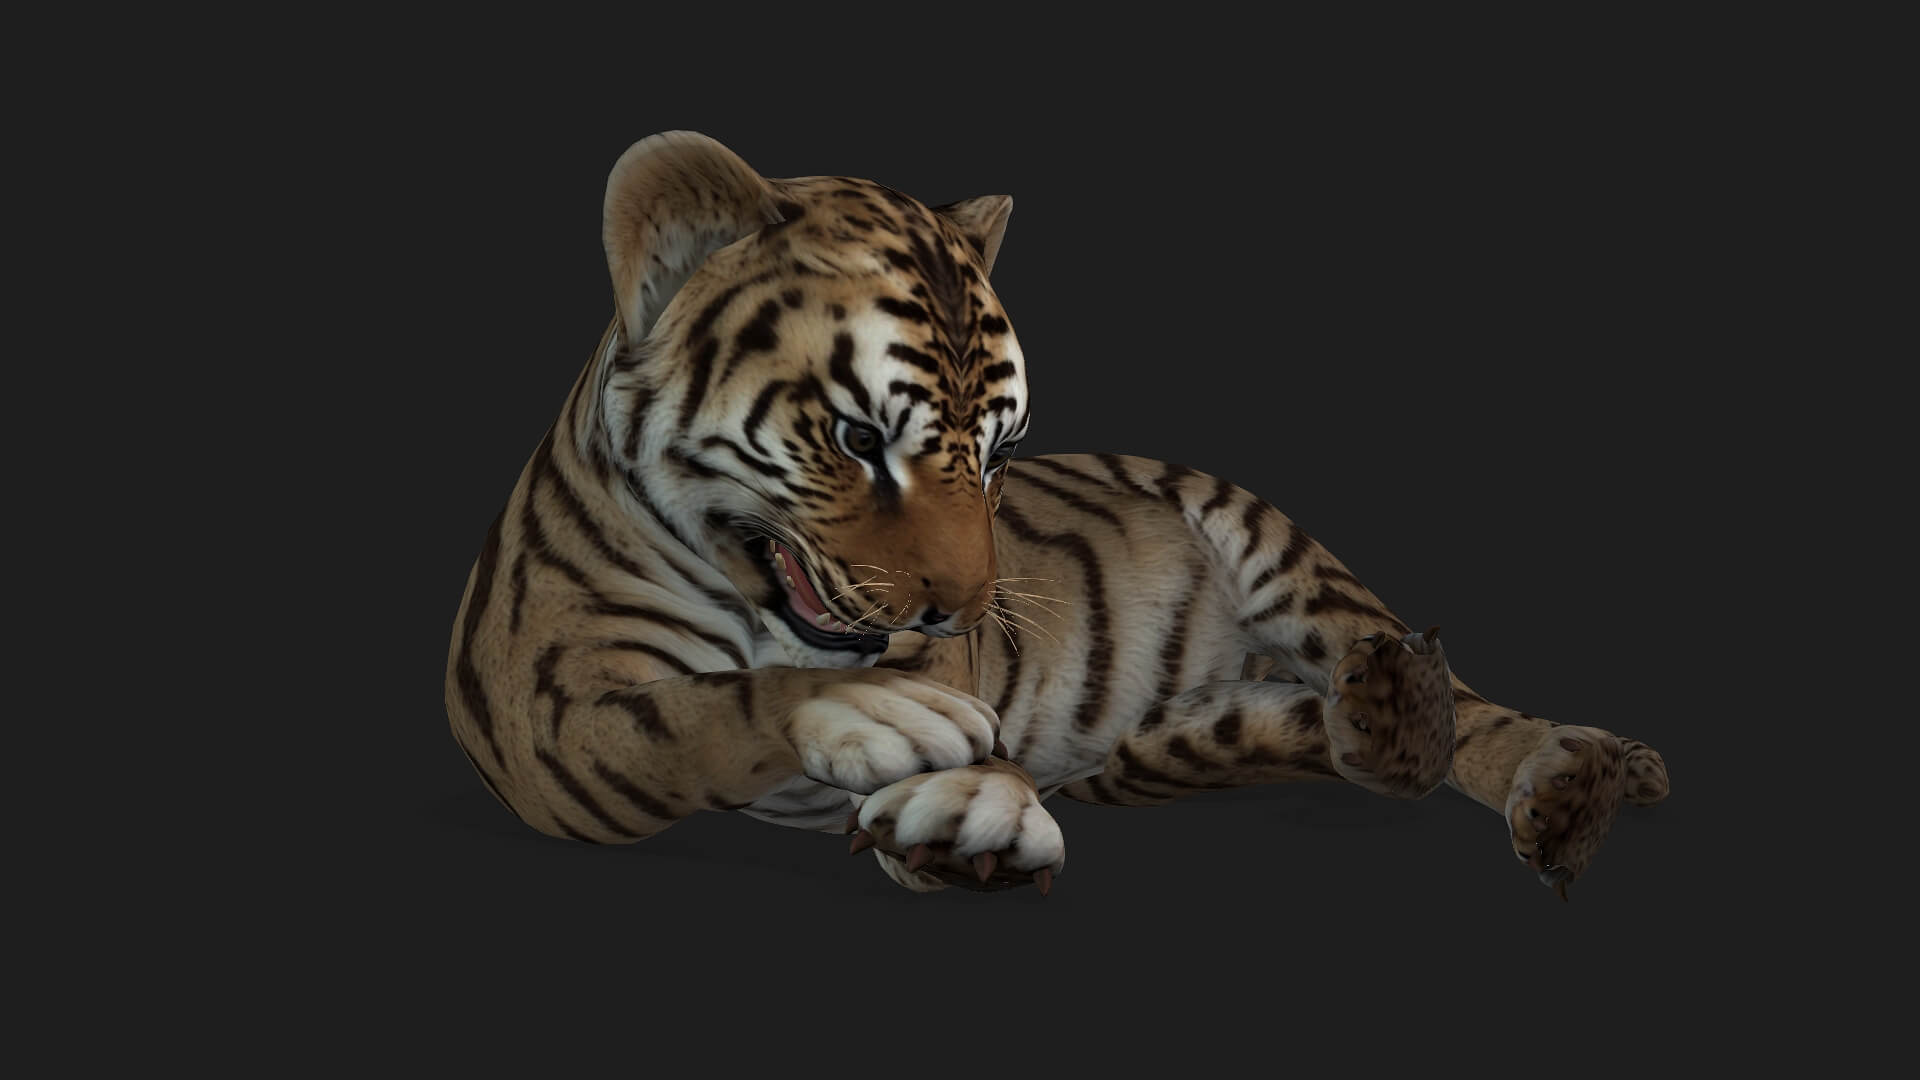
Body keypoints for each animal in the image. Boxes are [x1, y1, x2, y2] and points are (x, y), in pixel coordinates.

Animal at [445, 131, 1671, 900]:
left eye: (997, 453)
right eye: (859, 440)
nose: (960, 609)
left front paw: (965, 798)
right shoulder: (547, 718)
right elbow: (698, 709)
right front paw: (878, 726)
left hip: (1290, 562)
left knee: (1461, 711)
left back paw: (1565, 777)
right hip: (1187, 727)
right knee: (1311, 734)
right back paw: (1390, 726)